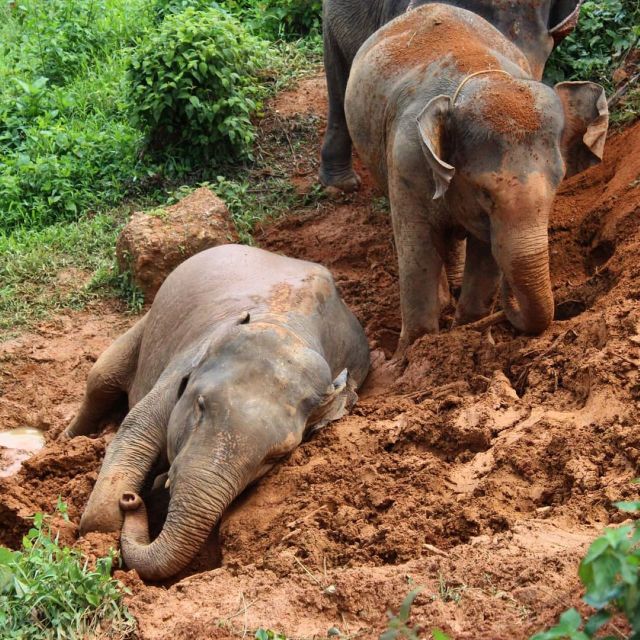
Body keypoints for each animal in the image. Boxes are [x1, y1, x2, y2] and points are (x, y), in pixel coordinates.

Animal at [65, 244, 370, 580]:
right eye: (200, 406)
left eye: (276, 456)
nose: (131, 500)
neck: (284, 325)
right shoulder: (183, 363)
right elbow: (136, 431)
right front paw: (100, 540)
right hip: (147, 322)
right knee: (101, 378)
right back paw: (67, 439)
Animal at [344, 3, 608, 351]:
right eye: (484, 194)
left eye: (556, 189)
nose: (508, 310)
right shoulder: (407, 159)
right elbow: (417, 250)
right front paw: (414, 350)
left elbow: (487, 256)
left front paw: (468, 333)